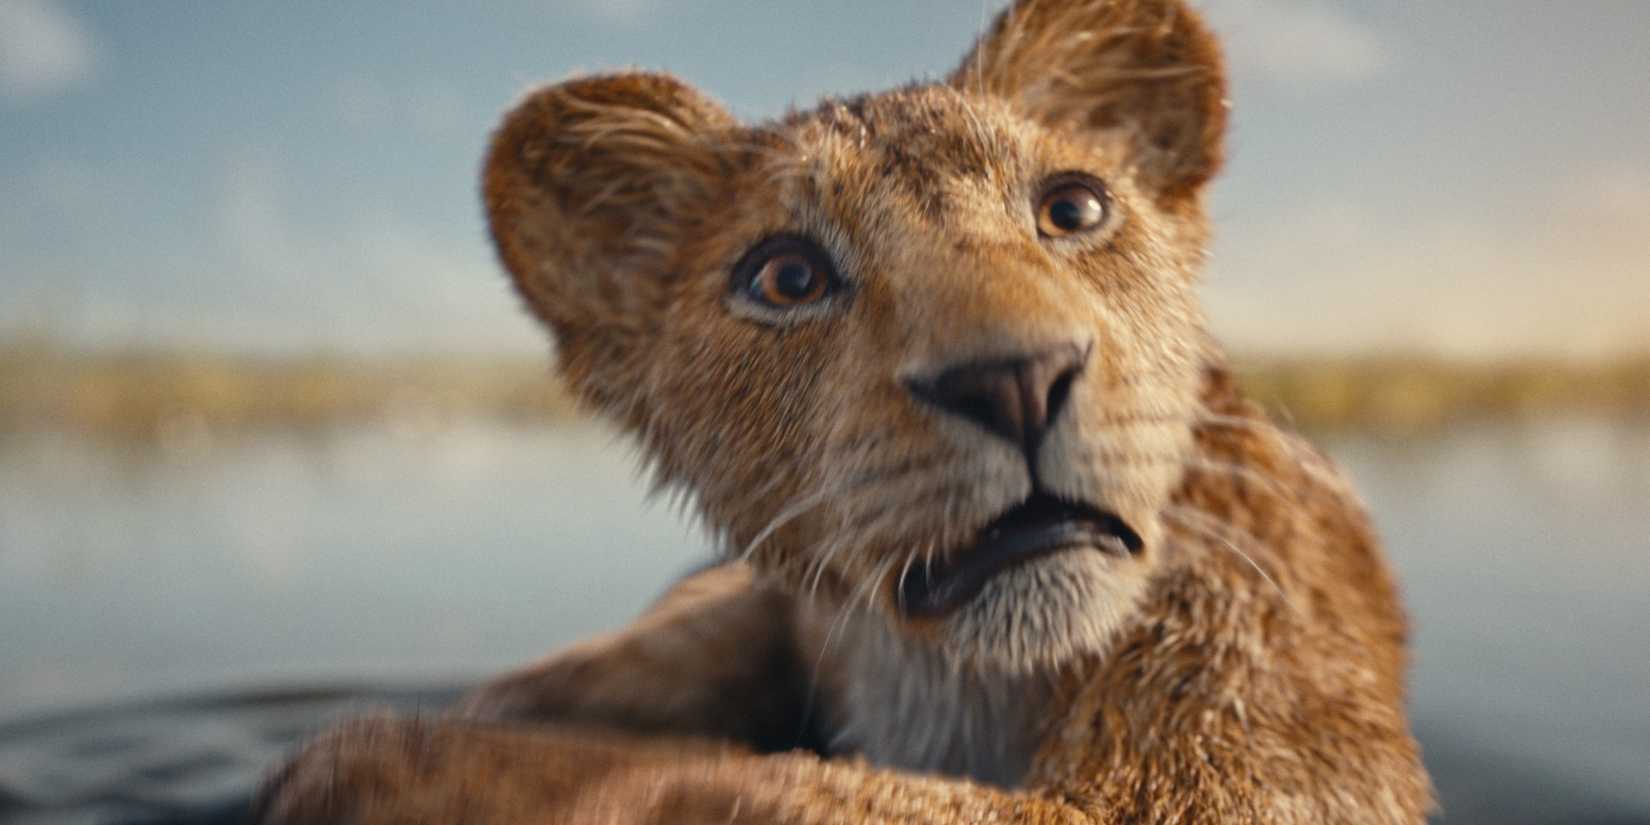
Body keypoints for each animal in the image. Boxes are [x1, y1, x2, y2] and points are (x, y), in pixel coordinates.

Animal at [256, 1, 1435, 822]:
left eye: (1074, 207)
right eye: (787, 277)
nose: (1014, 378)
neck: (954, 682)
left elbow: (744, 788)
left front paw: (367, 760)